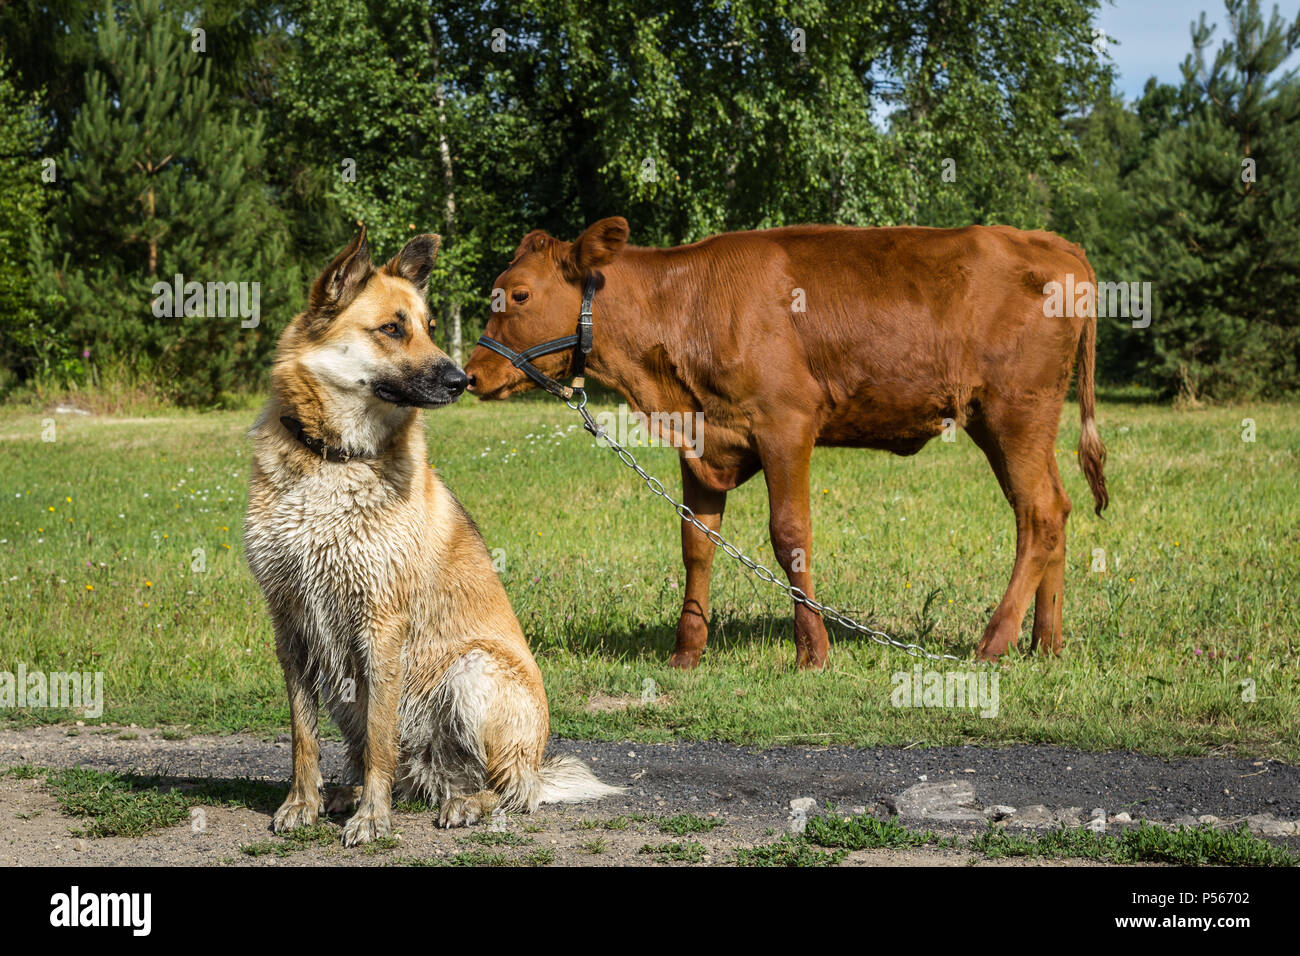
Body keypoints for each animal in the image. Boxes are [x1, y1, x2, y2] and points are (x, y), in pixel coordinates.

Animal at [464, 218, 1108, 669]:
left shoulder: (786, 425)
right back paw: (1044, 645)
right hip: (1009, 420)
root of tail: (1048, 242)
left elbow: (790, 536)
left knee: (1038, 514)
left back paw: (994, 644)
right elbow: (696, 543)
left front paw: (813, 652)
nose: (471, 374)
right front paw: (686, 654)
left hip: (1014, 411)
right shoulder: (703, 440)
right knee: (1055, 510)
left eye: (517, 295)